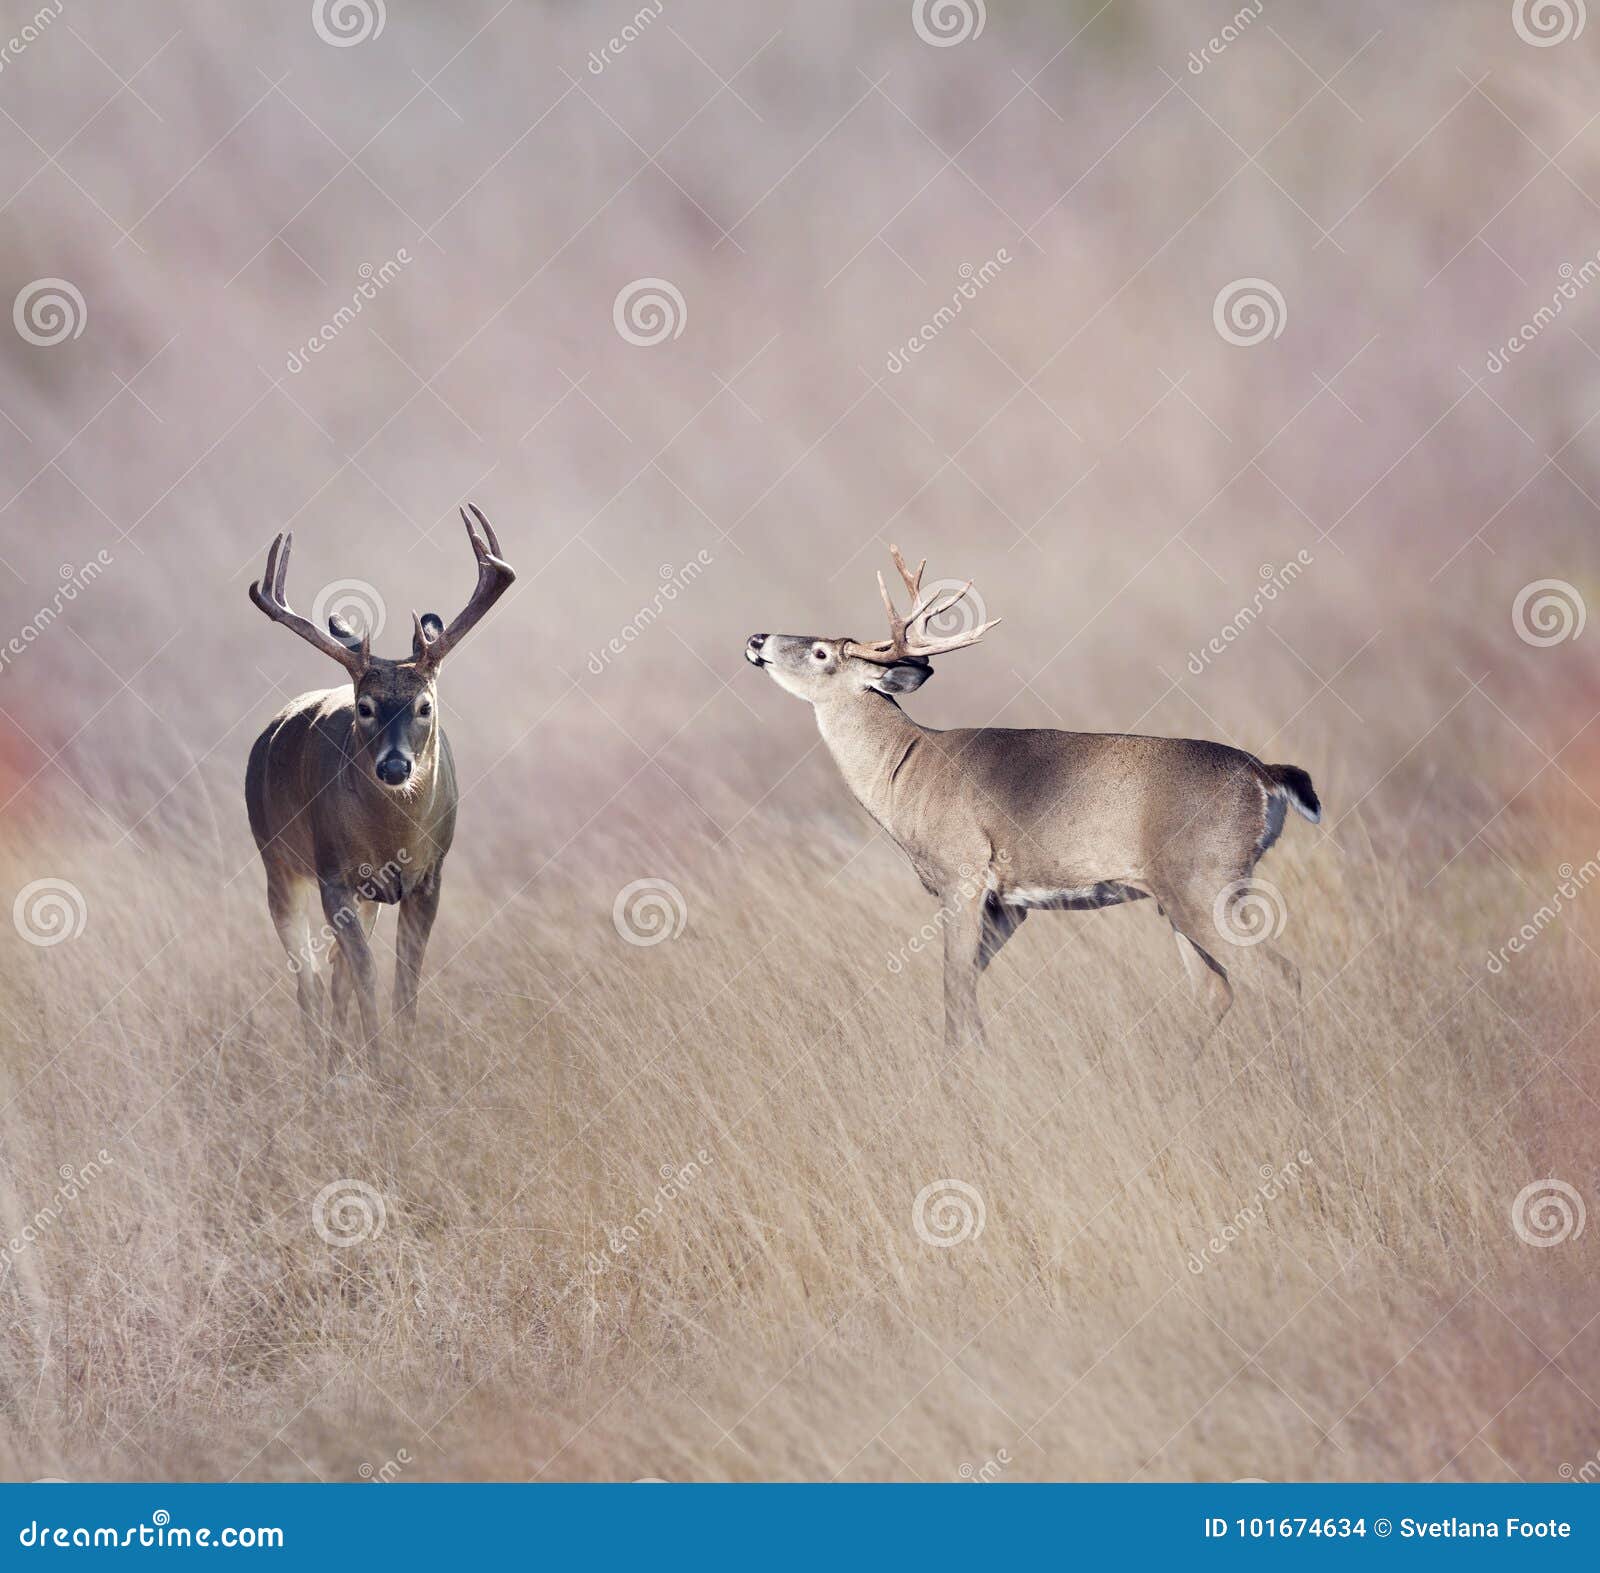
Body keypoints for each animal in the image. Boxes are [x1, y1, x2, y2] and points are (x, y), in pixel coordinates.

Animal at [245, 505, 515, 1068]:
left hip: (362, 894)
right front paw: (378, 1066)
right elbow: (367, 974)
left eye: (425, 705)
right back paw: (321, 1067)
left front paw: (401, 1069)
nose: (394, 768)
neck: (394, 839)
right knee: (308, 976)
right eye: (365, 706)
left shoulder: (430, 877)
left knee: (332, 974)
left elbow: (403, 983)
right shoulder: (333, 875)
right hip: (277, 861)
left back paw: (336, 1061)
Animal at [745, 546, 1320, 1053]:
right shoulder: (1008, 904)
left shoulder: (962, 874)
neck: (903, 772)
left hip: (1205, 880)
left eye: (821, 653)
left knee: (1281, 977)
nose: (756, 637)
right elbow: (970, 985)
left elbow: (953, 985)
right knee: (1216, 990)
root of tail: (1263, 775)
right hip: (1179, 896)